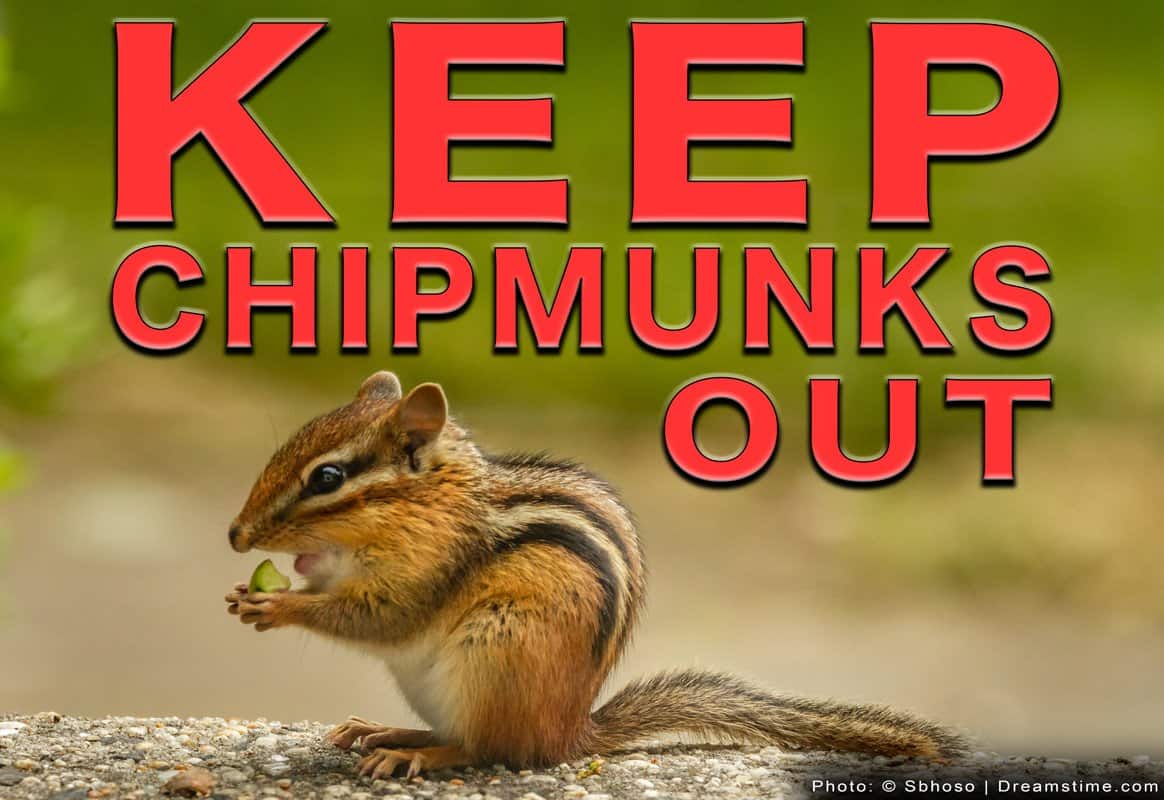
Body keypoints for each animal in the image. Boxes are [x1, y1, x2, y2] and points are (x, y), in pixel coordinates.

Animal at [224, 371, 966, 779]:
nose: (235, 536)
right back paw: (390, 731)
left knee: (491, 749)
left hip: (496, 650)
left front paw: (276, 606)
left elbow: (379, 616)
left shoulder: (430, 566)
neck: (426, 502)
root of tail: (570, 731)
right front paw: (254, 589)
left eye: (327, 479)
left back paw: (424, 753)